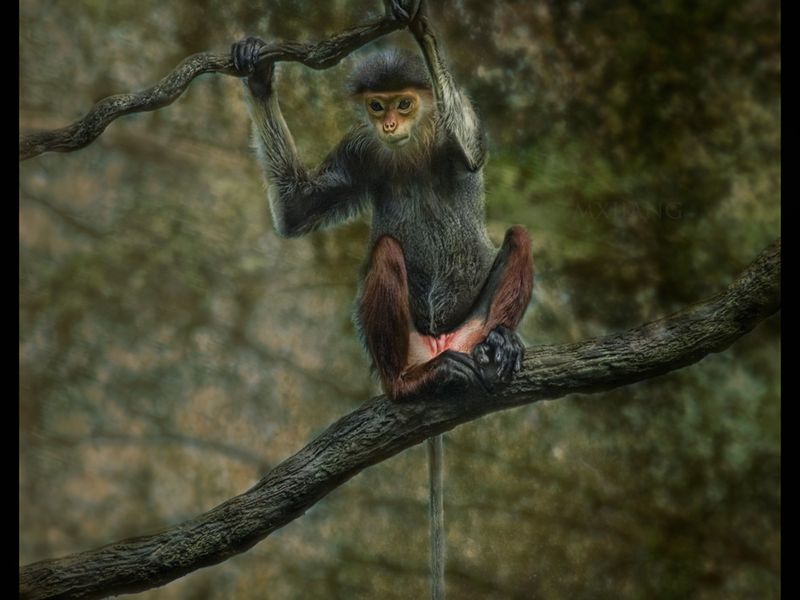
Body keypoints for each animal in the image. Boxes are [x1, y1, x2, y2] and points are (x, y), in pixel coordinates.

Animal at [232, 2, 533, 597]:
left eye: (404, 103)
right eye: (377, 106)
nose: (390, 123)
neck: (410, 146)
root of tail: (442, 342)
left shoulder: (448, 131)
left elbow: (470, 149)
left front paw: (420, 27)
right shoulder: (361, 149)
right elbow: (297, 211)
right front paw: (258, 77)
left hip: (472, 322)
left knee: (518, 235)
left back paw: (501, 343)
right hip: (401, 342)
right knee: (387, 251)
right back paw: (409, 383)